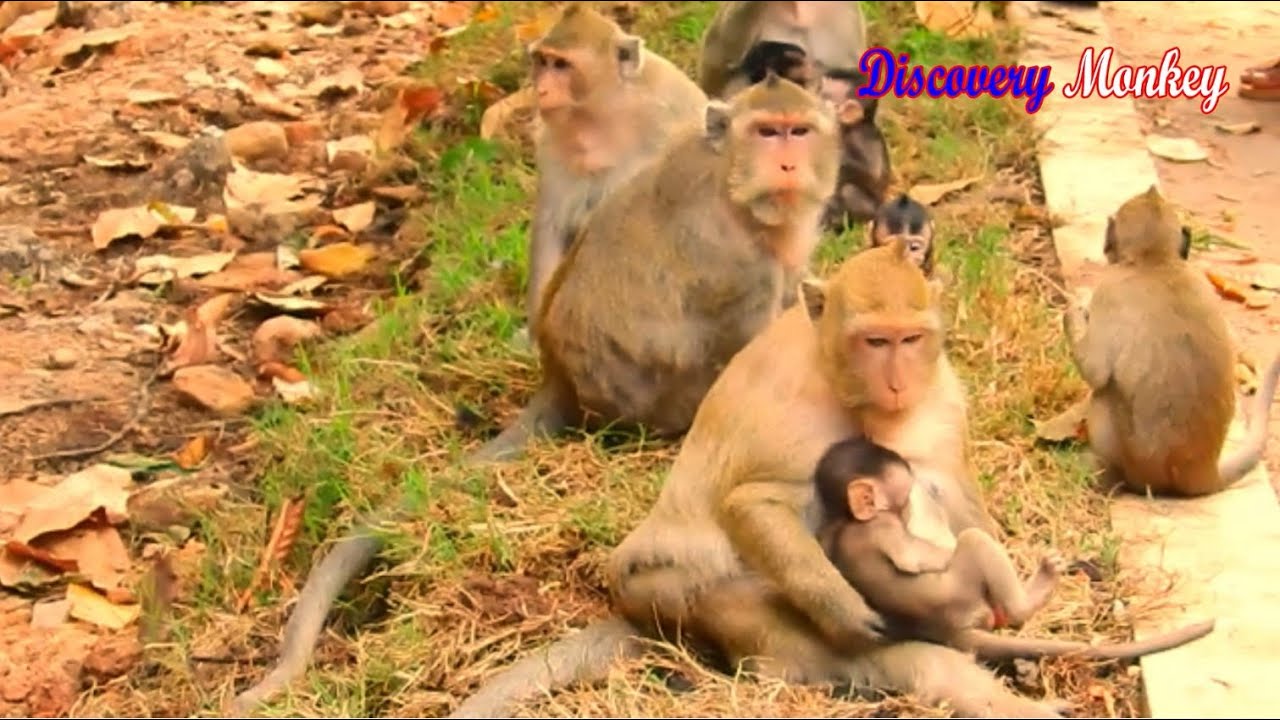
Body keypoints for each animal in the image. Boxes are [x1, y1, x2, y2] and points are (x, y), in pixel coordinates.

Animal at [230, 75, 843, 713]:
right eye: (766, 131)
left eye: (798, 129)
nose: (787, 162)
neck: (734, 188)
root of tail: (560, 378)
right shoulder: (739, 265)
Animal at [523, 5, 707, 345]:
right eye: (542, 61)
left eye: (562, 65)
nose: (540, 90)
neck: (605, 112)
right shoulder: (551, 142)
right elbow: (552, 225)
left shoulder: (667, 121)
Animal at [1063, 185, 1280, 497]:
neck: (1156, 261)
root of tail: (1202, 472)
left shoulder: (1109, 289)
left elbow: (1095, 371)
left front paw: (1073, 310)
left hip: (1135, 465)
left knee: (1105, 393)